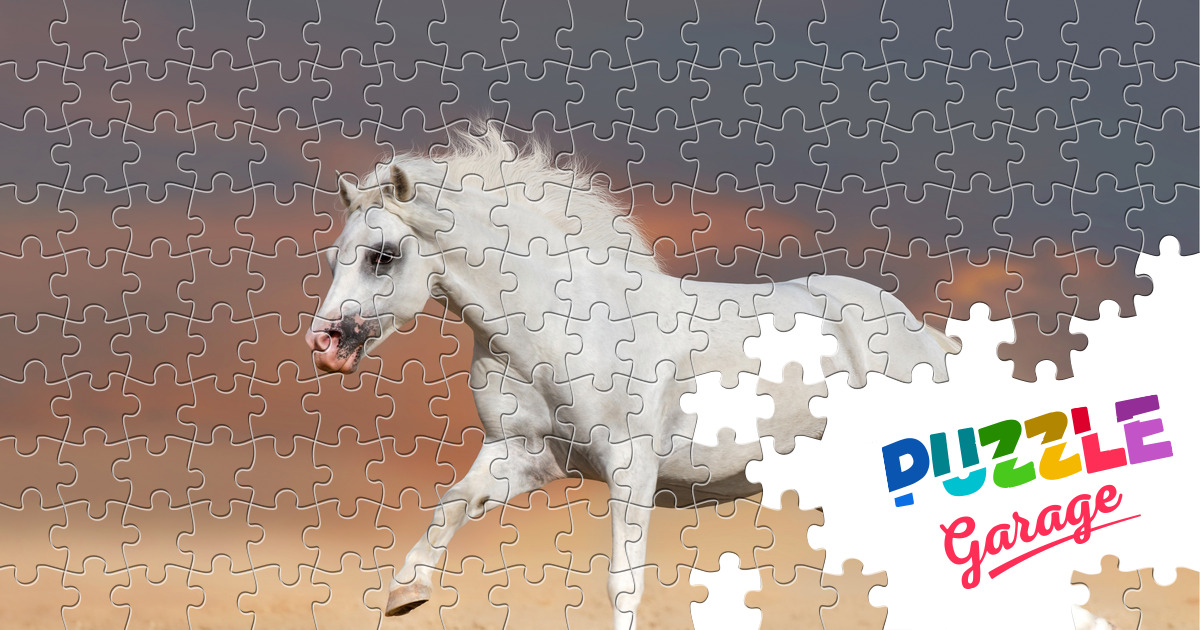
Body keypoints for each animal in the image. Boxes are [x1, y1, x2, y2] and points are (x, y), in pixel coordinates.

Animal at [305, 126, 960, 629]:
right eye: (336, 255)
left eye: (382, 255)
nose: (325, 346)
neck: (565, 326)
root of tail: (926, 335)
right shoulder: (522, 456)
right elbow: (452, 504)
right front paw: (405, 593)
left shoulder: (631, 466)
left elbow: (623, 581)